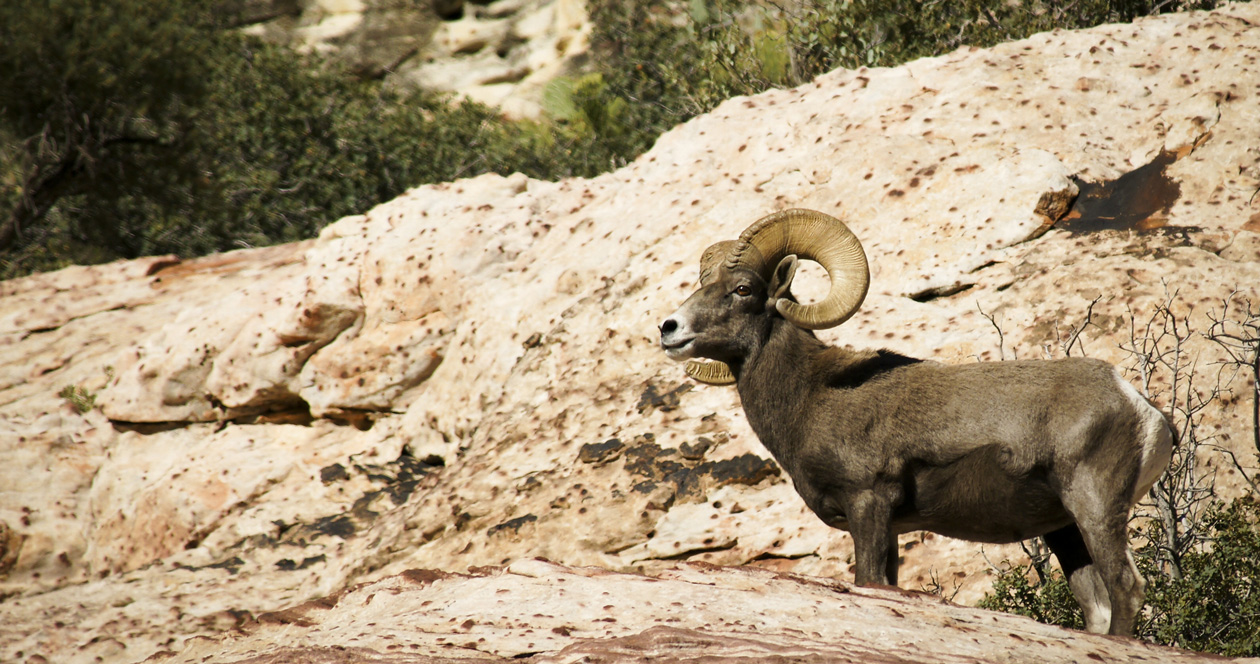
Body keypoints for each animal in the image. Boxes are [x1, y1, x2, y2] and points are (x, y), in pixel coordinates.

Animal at [657, 208, 1174, 636]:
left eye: (743, 289)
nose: (669, 328)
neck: (812, 396)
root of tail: (1137, 404)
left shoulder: (867, 504)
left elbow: (867, 580)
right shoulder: (889, 529)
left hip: (1093, 507)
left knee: (1126, 589)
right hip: (1064, 529)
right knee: (1098, 610)